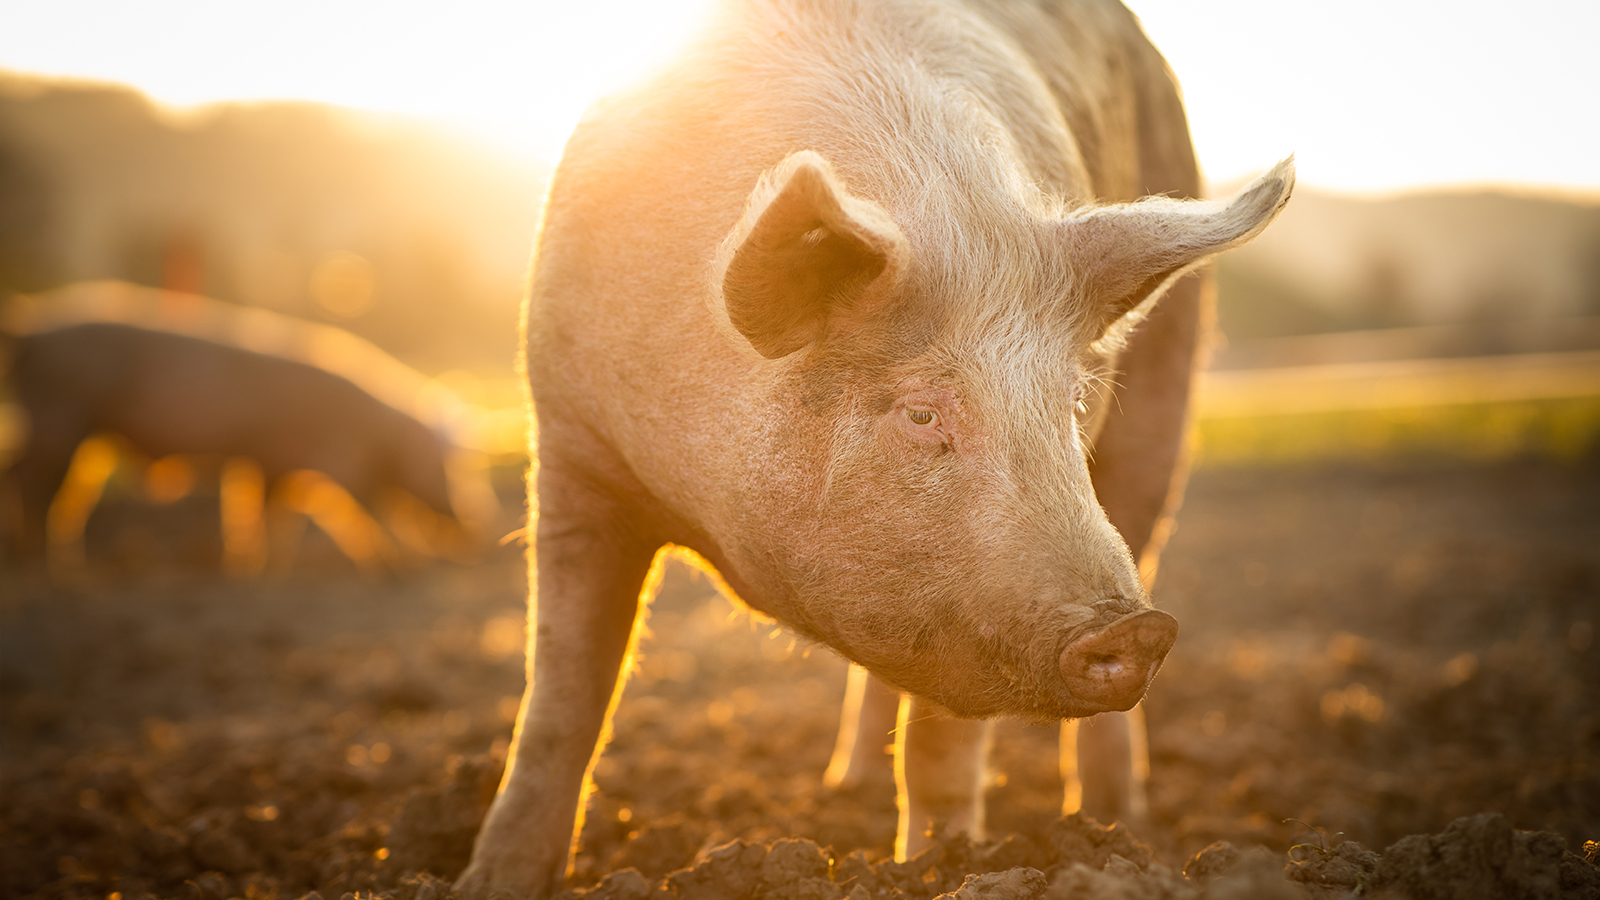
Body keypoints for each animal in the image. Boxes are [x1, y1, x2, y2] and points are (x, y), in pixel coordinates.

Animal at [2, 320, 463, 565]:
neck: (380, 432)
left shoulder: (271, 463)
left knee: (22, 473)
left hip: (66, 425)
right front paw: (403, 562)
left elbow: (267, 513)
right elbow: (370, 509)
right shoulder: (338, 463)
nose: (471, 526)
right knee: (35, 484)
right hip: (61, 417)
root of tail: (30, 333)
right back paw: (50, 564)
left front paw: (262, 567)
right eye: (445, 466)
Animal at [458, 0, 1292, 895]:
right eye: (922, 415)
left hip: (1165, 404)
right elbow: (563, 700)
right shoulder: (572, 450)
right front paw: (490, 879)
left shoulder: (966, 608)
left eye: (1071, 401)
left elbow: (944, 741)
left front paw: (940, 865)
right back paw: (847, 786)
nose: (1135, 631)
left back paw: (1115, 828)